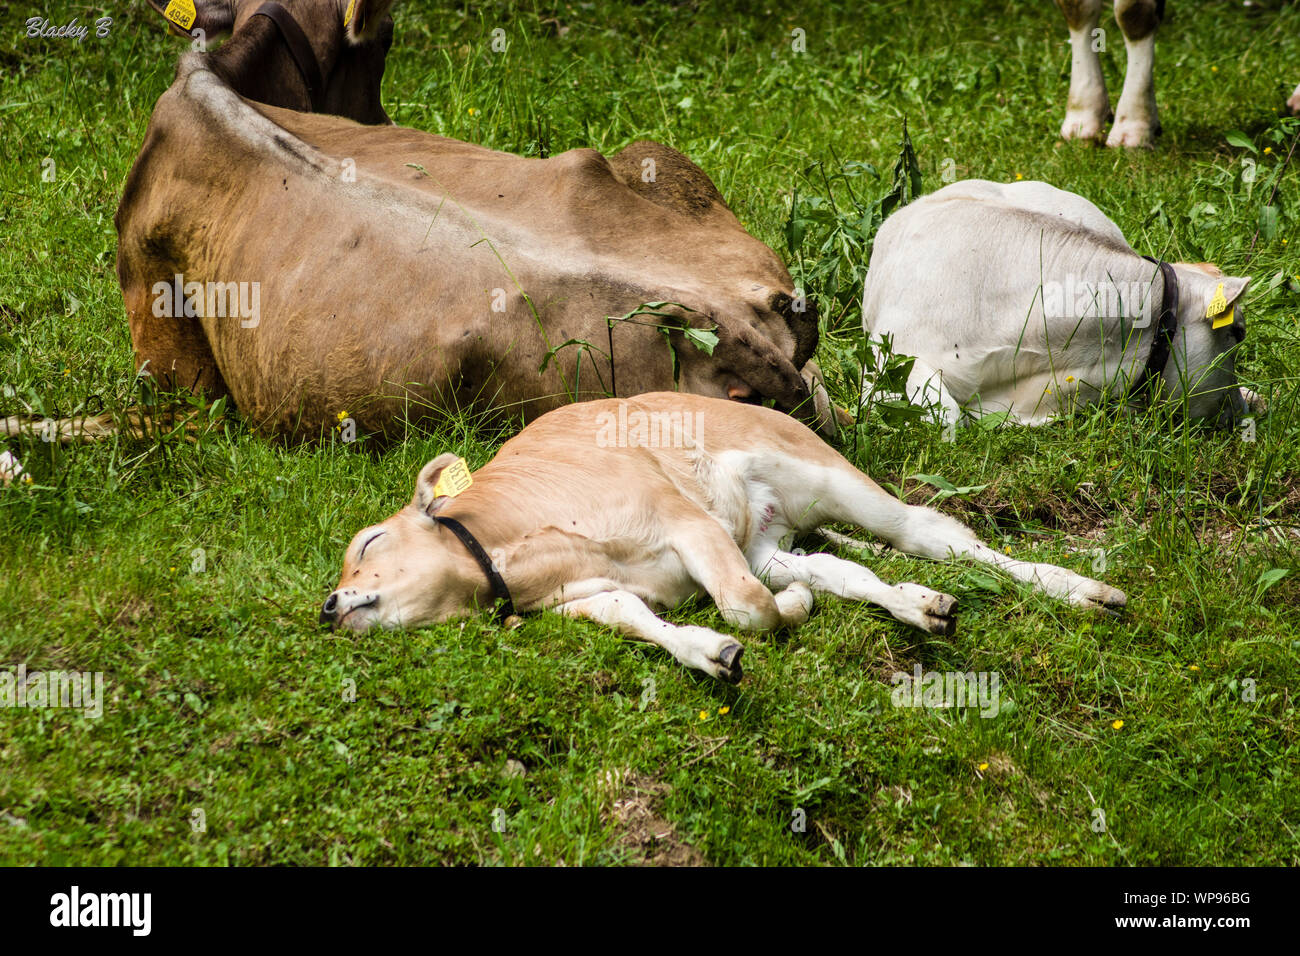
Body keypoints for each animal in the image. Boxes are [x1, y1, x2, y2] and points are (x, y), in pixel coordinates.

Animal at [321, 394, 1127, 682]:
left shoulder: (683, 520)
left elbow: (748, 606)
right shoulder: (584, 596)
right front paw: (709, 652)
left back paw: (1084, 590)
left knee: (936, 533)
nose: (330, 607)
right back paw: (920, 605)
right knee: (848, 570)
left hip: (826, 477)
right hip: (769, 533)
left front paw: (780, 616)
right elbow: (639, 619)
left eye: (368, 543)